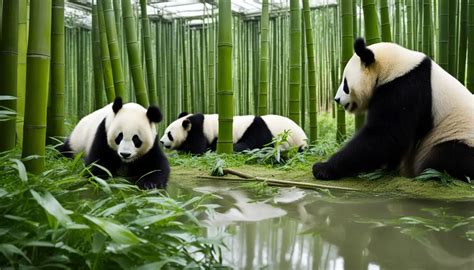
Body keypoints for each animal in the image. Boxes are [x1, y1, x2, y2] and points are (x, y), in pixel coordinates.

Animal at [159, 112, 308, 154]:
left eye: (169, 134)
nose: (160, 141)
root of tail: (303, 138)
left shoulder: (199, 131)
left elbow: (197, 149)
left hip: (262, 130)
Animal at [312, 38, 474, 181]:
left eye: (345, 83)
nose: (336, 99)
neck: (394, 68)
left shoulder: (406, 87)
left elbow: (386, 135)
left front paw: (322, 168)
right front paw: (387, 167)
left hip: (454, 136)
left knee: (443, 158)